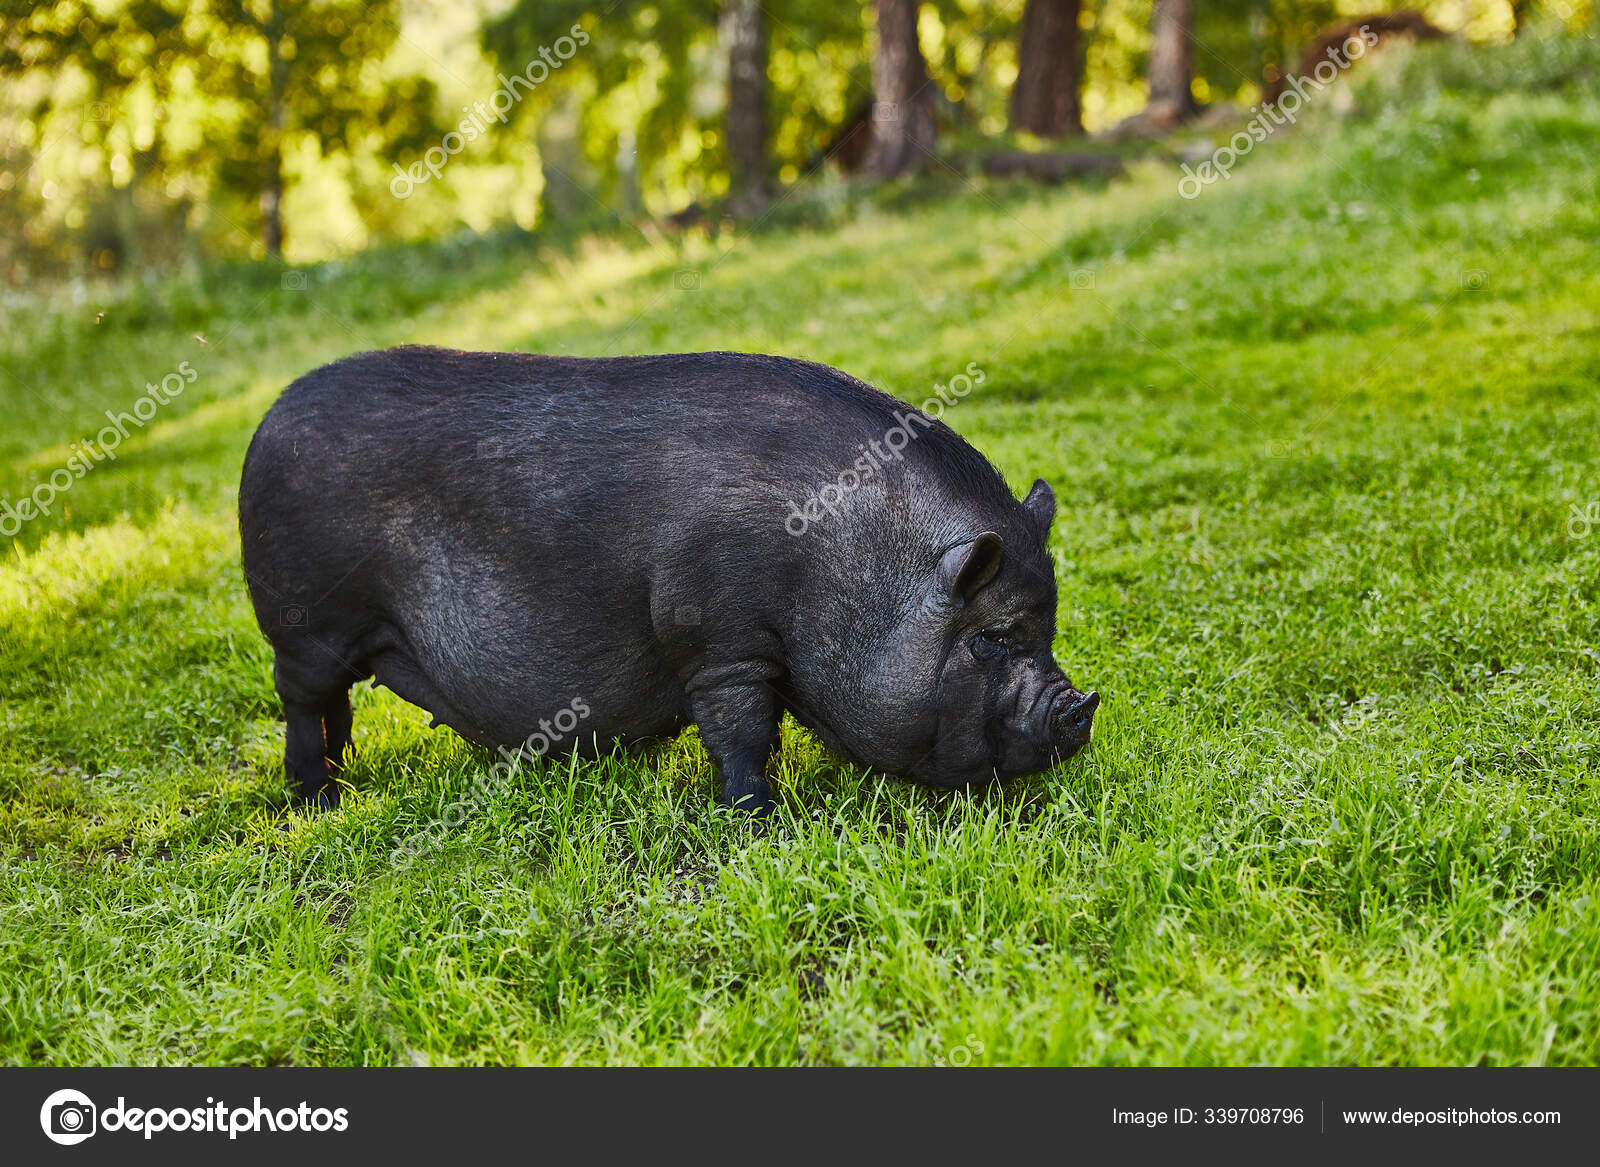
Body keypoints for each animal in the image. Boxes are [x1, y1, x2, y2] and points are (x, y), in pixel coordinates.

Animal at [238, 346, 1099, 814]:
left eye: (1048, 630)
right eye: (991, 639)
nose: (1080, 709)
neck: (843, 561)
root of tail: (268, 419)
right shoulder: (719, 638)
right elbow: (743, 730)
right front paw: (756, 816)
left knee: (338, 702)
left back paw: (345, 770)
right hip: (306, 621)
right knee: (301, 703)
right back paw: (319, 796)